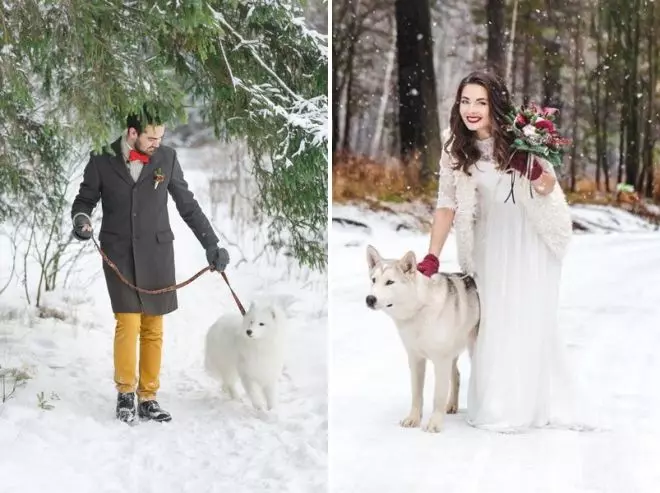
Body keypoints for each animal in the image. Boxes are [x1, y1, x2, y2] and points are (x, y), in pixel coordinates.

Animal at [366, 245, 480, 430]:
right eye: (374, 280)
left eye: (390, 282)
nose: (369, 299)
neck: (419, 309)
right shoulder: (415, 358)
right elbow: (416, 394)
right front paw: (413, 419)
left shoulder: (441, 360)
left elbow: (438, 396)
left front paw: (434, 424)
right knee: (456, 376)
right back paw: (452, 406)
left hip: (471, 350)